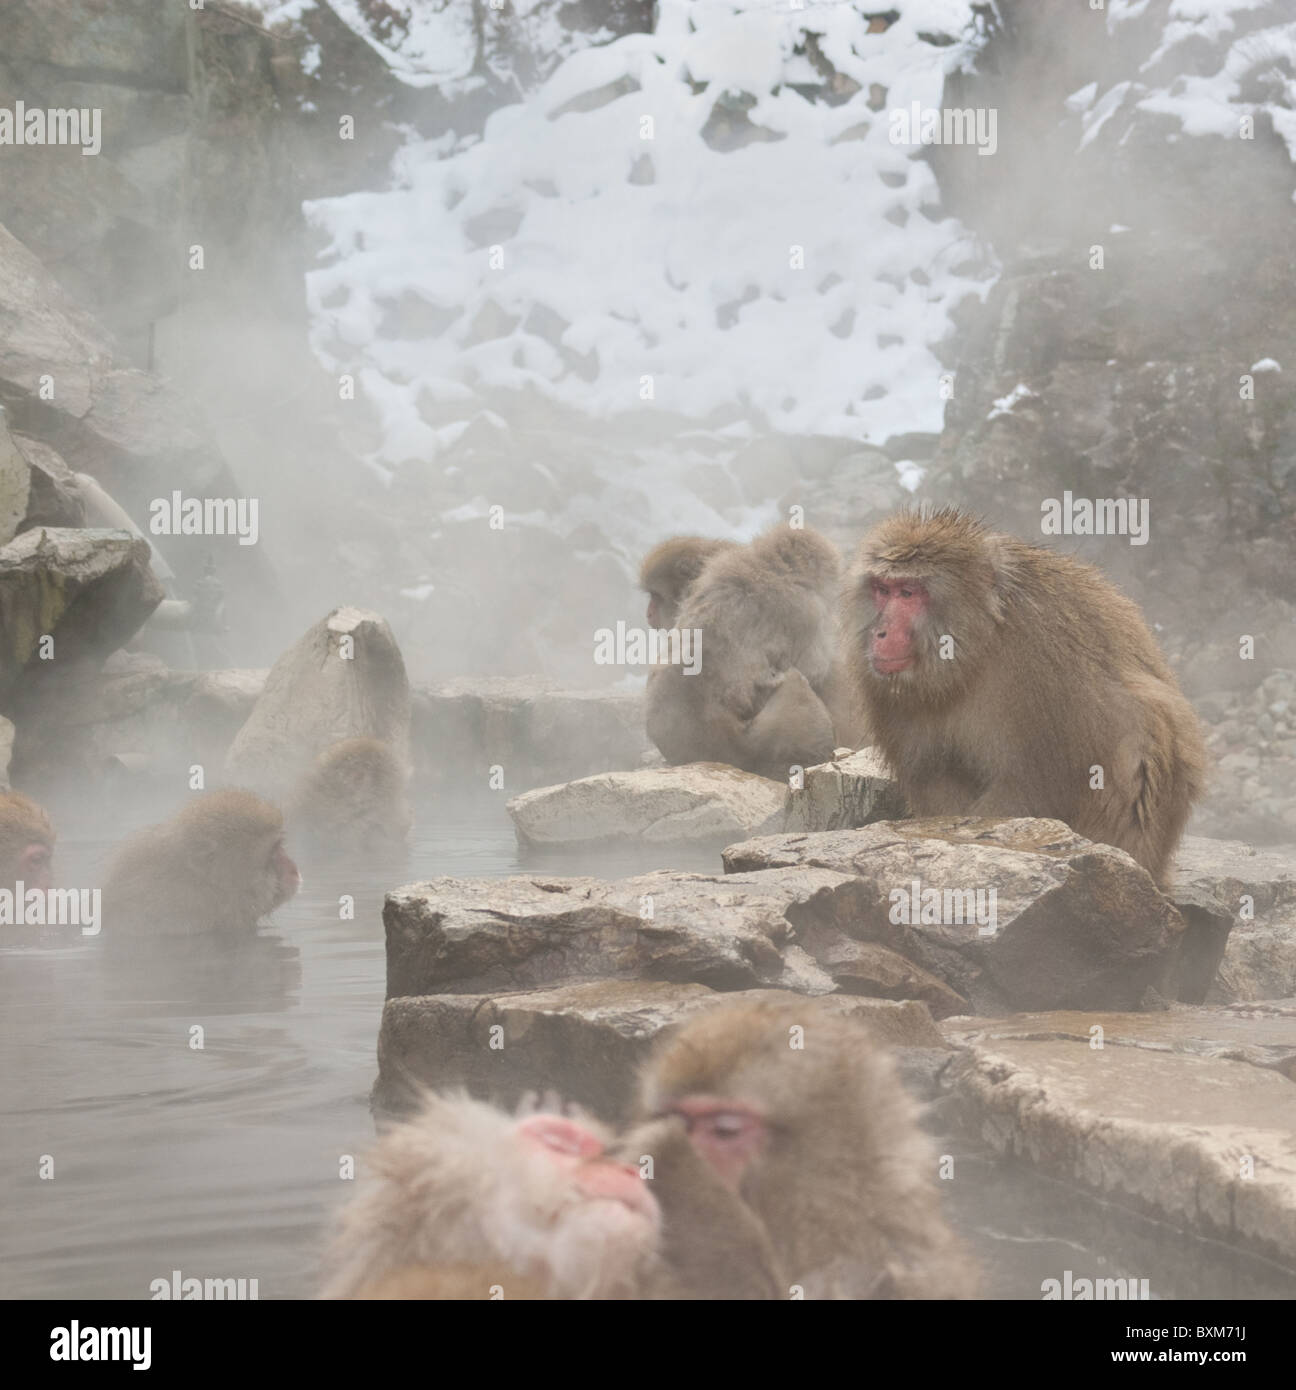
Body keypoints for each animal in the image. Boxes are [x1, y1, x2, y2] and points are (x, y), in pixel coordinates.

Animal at [642, 525, 843, 781]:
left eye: (656, 598)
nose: (648, 614)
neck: (769, 567)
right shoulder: (809, 614)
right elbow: (816, 668)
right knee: (796, 681)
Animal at [844, 507, 1206, 887]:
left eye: (908, 593)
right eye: (882, 589)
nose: (880, 632)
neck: (975, 649)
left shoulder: (1043, 658)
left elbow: (1033, 787)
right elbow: (936, 783)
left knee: (1141, 725)